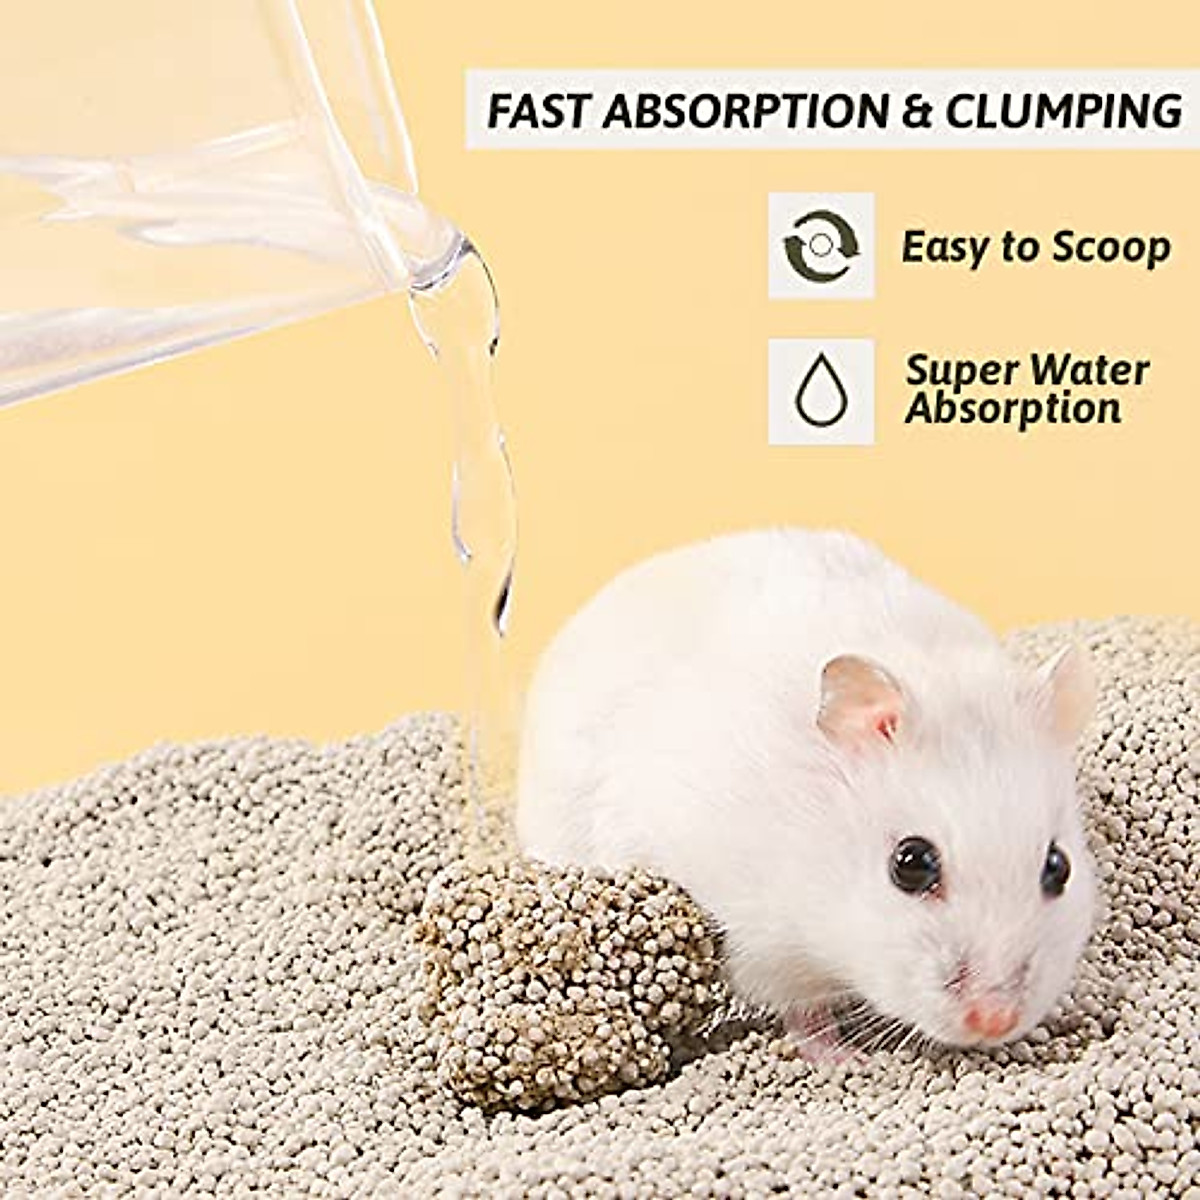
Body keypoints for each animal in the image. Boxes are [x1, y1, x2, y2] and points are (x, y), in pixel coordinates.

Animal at [516, 529, 1098, 1055]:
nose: (996, 1021)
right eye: (910, 864)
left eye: (1059, 867)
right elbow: (803, 1010)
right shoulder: (761, 941)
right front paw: (840, 1060)